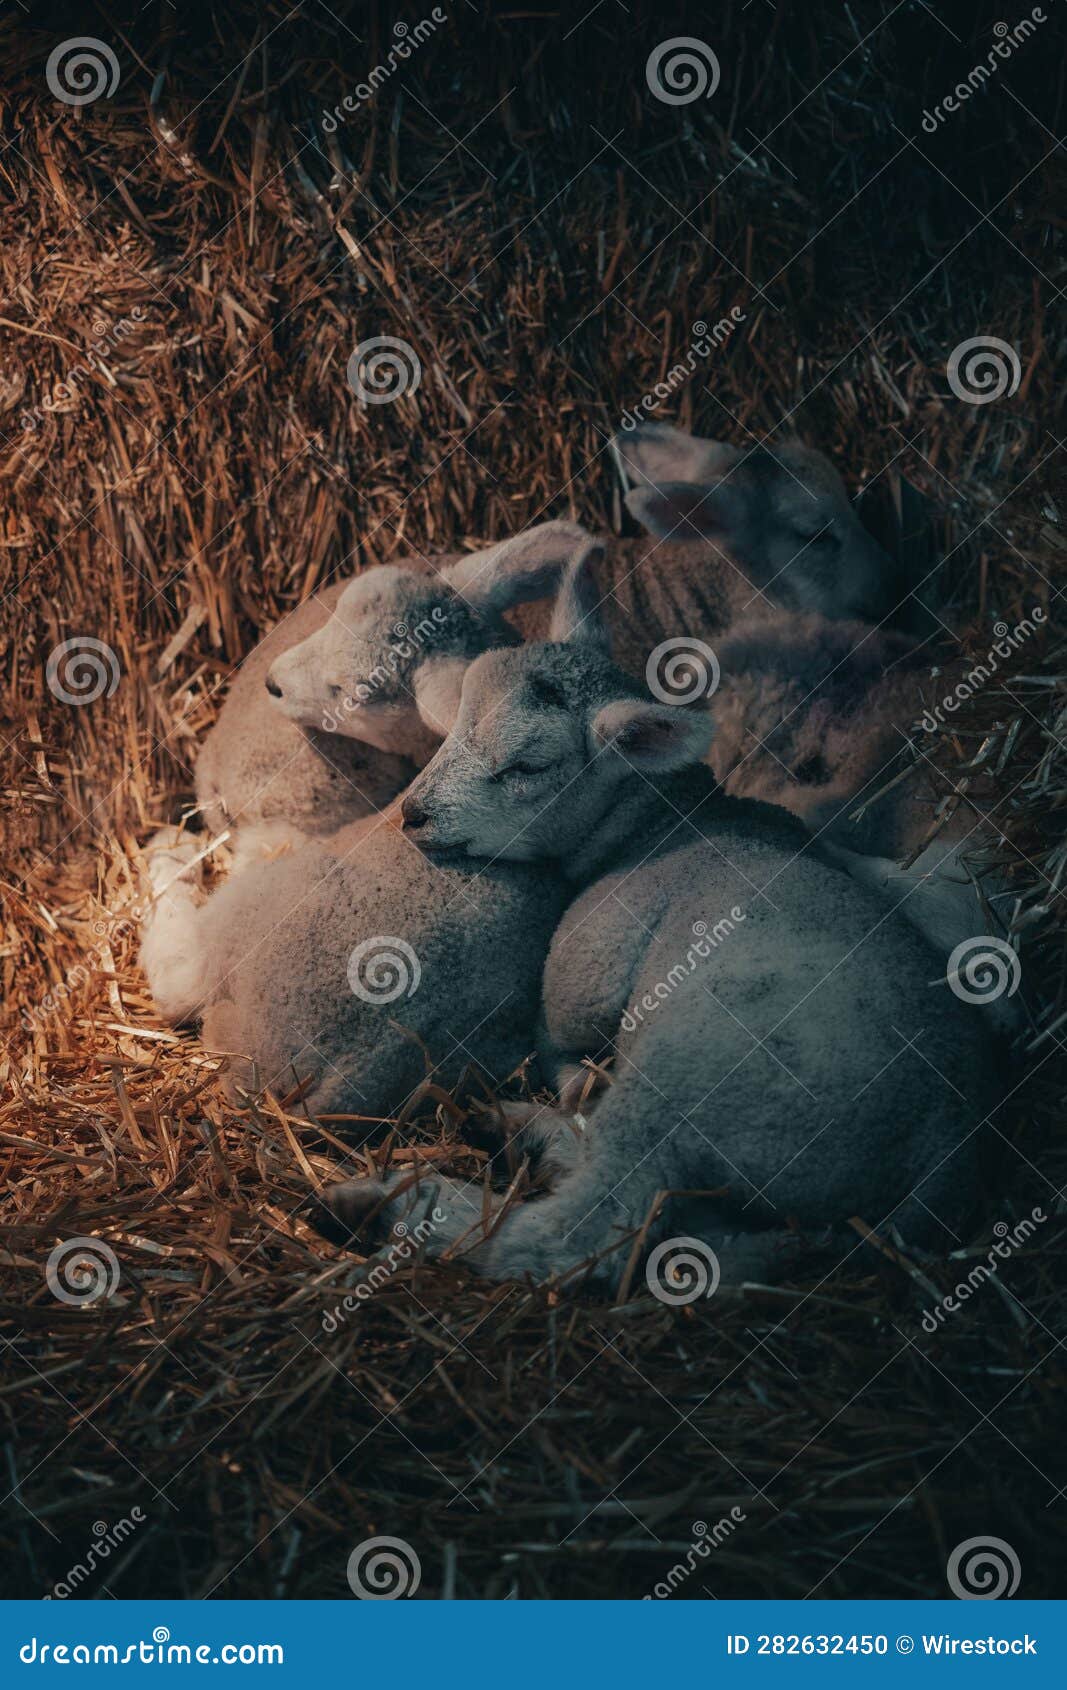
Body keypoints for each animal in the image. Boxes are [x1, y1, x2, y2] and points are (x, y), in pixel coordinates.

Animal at [318, 545, 997, 1292]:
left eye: (528, 766)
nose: (413, 815)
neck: (654, 825)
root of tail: (939, 1162)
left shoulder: (583, 975)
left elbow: (559, 1043)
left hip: (691, 1085)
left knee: (575, 1229)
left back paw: (388, 1203)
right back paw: (515, 1131)